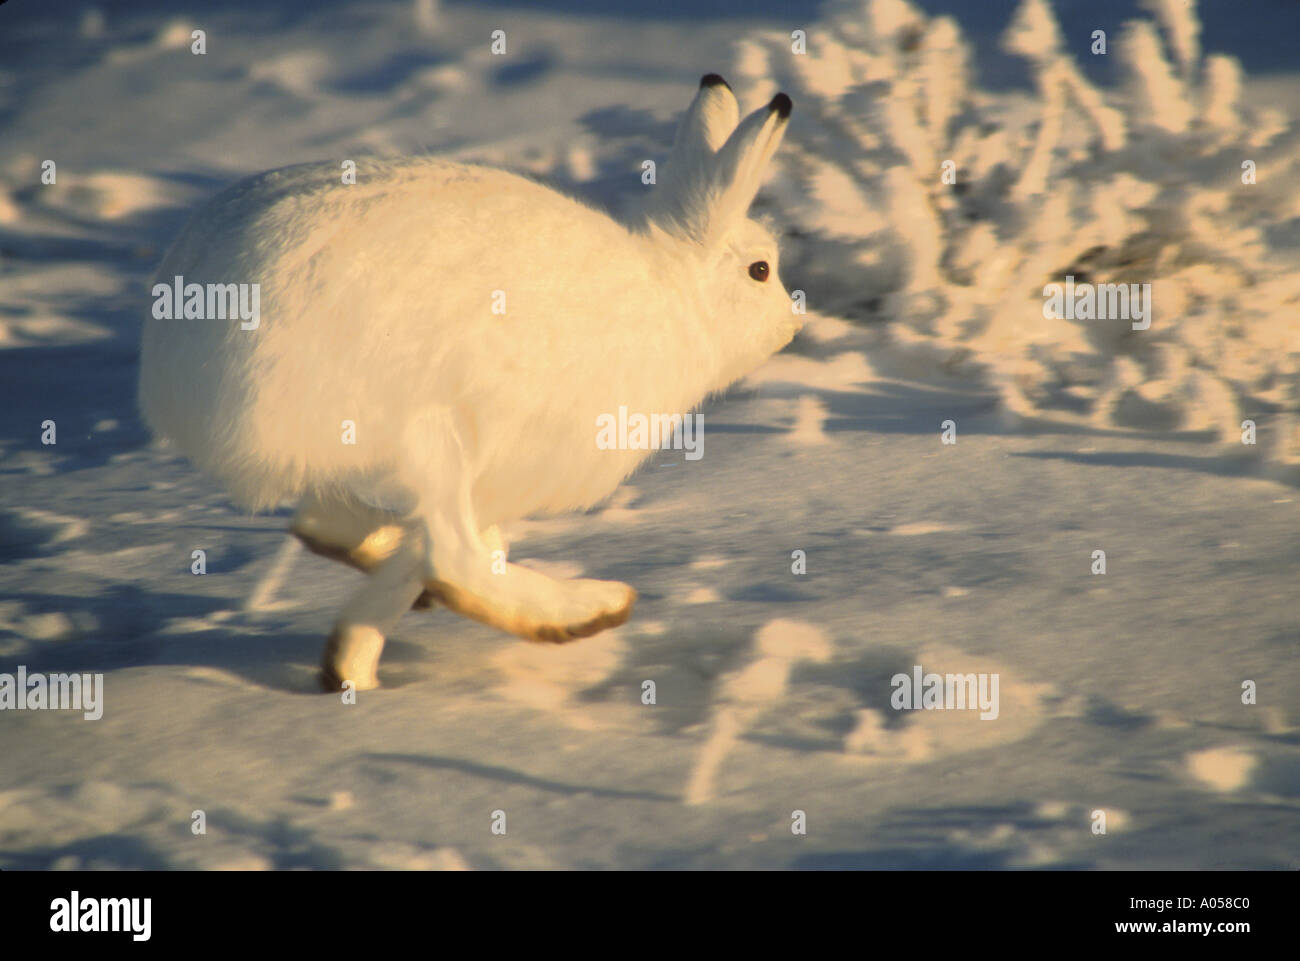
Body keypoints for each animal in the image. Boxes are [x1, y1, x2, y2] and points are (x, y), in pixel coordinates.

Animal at [138, 74, 798, 691]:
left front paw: (353, 656)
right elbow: (454, 551)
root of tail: (179, 372)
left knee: (340, 524)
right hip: (433, 432)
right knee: (453, 554)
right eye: (760, 271)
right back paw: (590, 608)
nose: (793, 322)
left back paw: (357, 659)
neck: (675, 292)